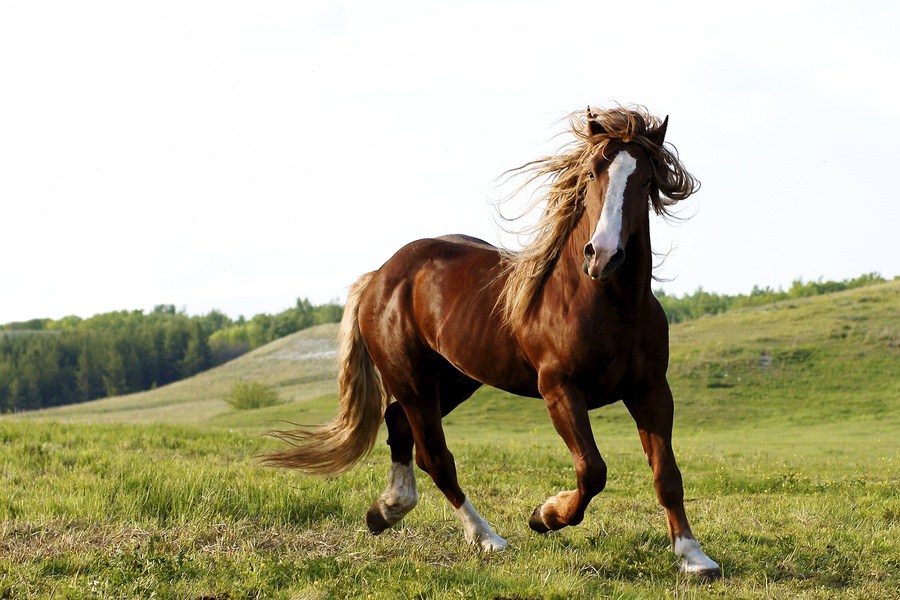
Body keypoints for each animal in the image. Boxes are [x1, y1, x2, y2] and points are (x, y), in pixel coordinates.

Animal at [264, 105, 721, 578]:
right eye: (593, 172)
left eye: (646, 180)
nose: (603, 255)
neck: (608, 303)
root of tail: (381, 276)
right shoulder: (559, 390)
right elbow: (592, 470)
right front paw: (545, 515)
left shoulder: (651, 390)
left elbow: (666, 475)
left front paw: (694, 556)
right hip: (414, 381)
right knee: (436, 457)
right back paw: (487, 538)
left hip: (454, 380)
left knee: (399, 425)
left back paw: (386, 510)